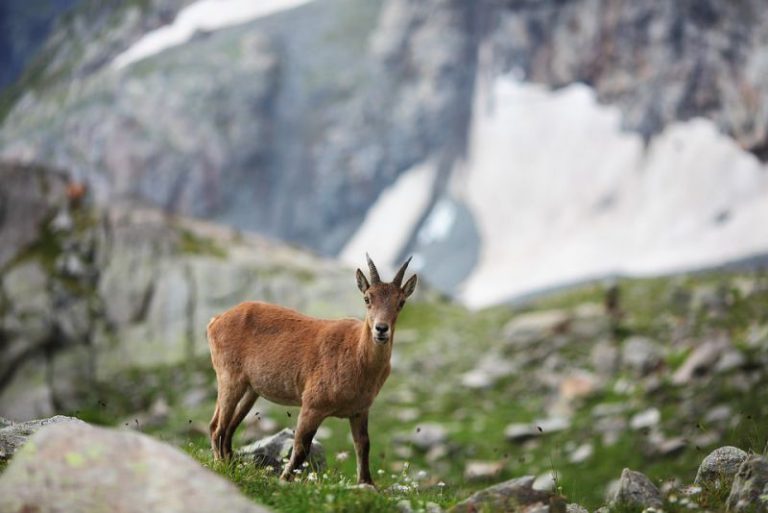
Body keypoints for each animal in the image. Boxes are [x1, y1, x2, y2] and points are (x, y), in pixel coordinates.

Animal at [207, 254, 417, 485]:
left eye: (401, 302)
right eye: (367, 299)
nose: (381, 329)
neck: (358, 357)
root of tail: (216, 320)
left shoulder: (360, 411)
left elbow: (363, 445)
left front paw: (366, 483)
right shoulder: (312, 405)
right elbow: (301, 447)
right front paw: (284, 479)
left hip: (250, 389)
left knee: (229, 428)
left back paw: (230, 463)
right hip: (229, 378)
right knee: (217, 426)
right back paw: (220, 465)